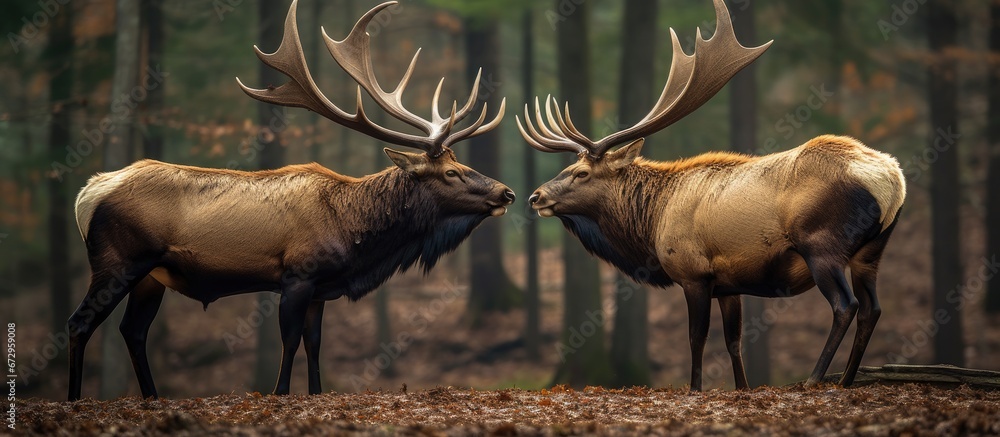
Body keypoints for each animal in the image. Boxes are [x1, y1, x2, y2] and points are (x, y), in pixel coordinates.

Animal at [67, 0, 513, 401]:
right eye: (451, 172)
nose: (505, 192)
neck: (353, 234)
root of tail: (86, 194)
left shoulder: (320, 289)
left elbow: (314, 343)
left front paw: (315, 392)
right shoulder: (297, 274)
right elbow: (291, 339)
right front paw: (280, 392)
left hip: (151, 276)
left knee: (133, 330)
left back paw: (152, 397)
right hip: (119, 261)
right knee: (80, 322)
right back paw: (74, 399)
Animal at [518, 0, 905, 391]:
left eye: (581, 173)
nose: (535, 197)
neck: (652, 222)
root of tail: (893, 179)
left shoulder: (693, 273)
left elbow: (696, 338)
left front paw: (694, 388)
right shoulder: (729, 283)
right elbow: (734, 341)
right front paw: (742, 388)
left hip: (821, 246)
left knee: (846, 305)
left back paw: (814, 378)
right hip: (871, 252)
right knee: (873, 308)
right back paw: (847, 379)